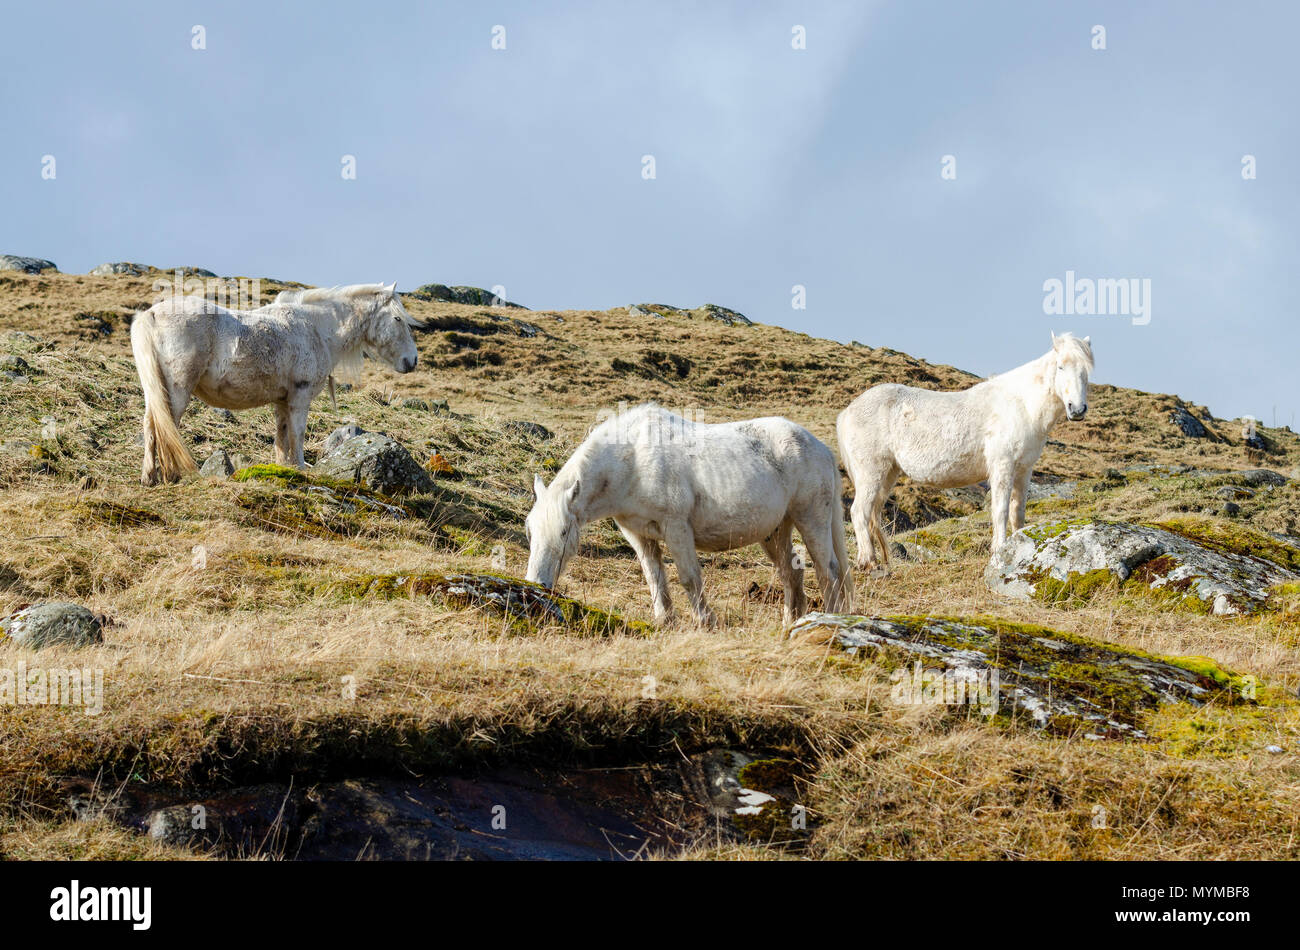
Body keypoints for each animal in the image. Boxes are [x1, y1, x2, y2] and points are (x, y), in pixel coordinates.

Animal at [130, 283, 419, 485]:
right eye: (398, 319)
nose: (412, 360)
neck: (315, 329)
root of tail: (151, 314)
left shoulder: (282, 401)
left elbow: (281, 438)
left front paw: (284, 470)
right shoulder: (300, 397)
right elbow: (297, 434)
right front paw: (301, 468)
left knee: (150, 425)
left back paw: (148, 477)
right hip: (178, 389)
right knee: (167, 425)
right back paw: (170, 475)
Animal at [525, 404, 853, 628]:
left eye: (564, 531)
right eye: (530, 531)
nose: (536, 584)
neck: (631, 461)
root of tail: (821, 449)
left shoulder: (676, 528)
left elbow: (689, 578)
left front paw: (706, 621)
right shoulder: (639, 535)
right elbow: (654, 578)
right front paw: (664, 620)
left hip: (812, 519)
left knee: (828, 571)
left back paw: (828, 619)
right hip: (776, 530)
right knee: (790, 572)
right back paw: (790, 621)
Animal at [837, 332, 1094, 569]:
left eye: (1087, 371)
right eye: (1060, 366)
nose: (1077, 409)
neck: (1021, 404)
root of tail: (848, 411)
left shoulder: (1024, 470)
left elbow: (1017, 511)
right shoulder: (1002, 466)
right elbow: (1000, 510)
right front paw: (999, 551)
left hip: (888, 473)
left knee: (872, 512)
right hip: (871, 472)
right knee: (859, 512)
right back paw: (868, 562)